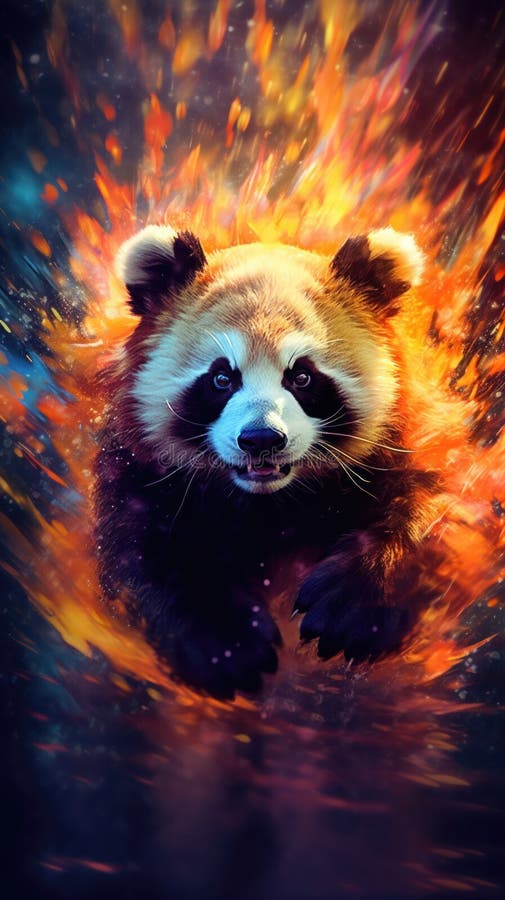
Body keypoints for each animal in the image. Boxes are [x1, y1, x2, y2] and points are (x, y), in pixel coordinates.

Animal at [95, 224, 438, 698]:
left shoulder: (404, 436)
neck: (270, 501)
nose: (260, 440)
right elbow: (143, 550)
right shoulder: (139, 466)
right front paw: (225, 644)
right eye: (222, 378)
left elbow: (424, 504)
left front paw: (351, 610)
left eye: (302, 376)